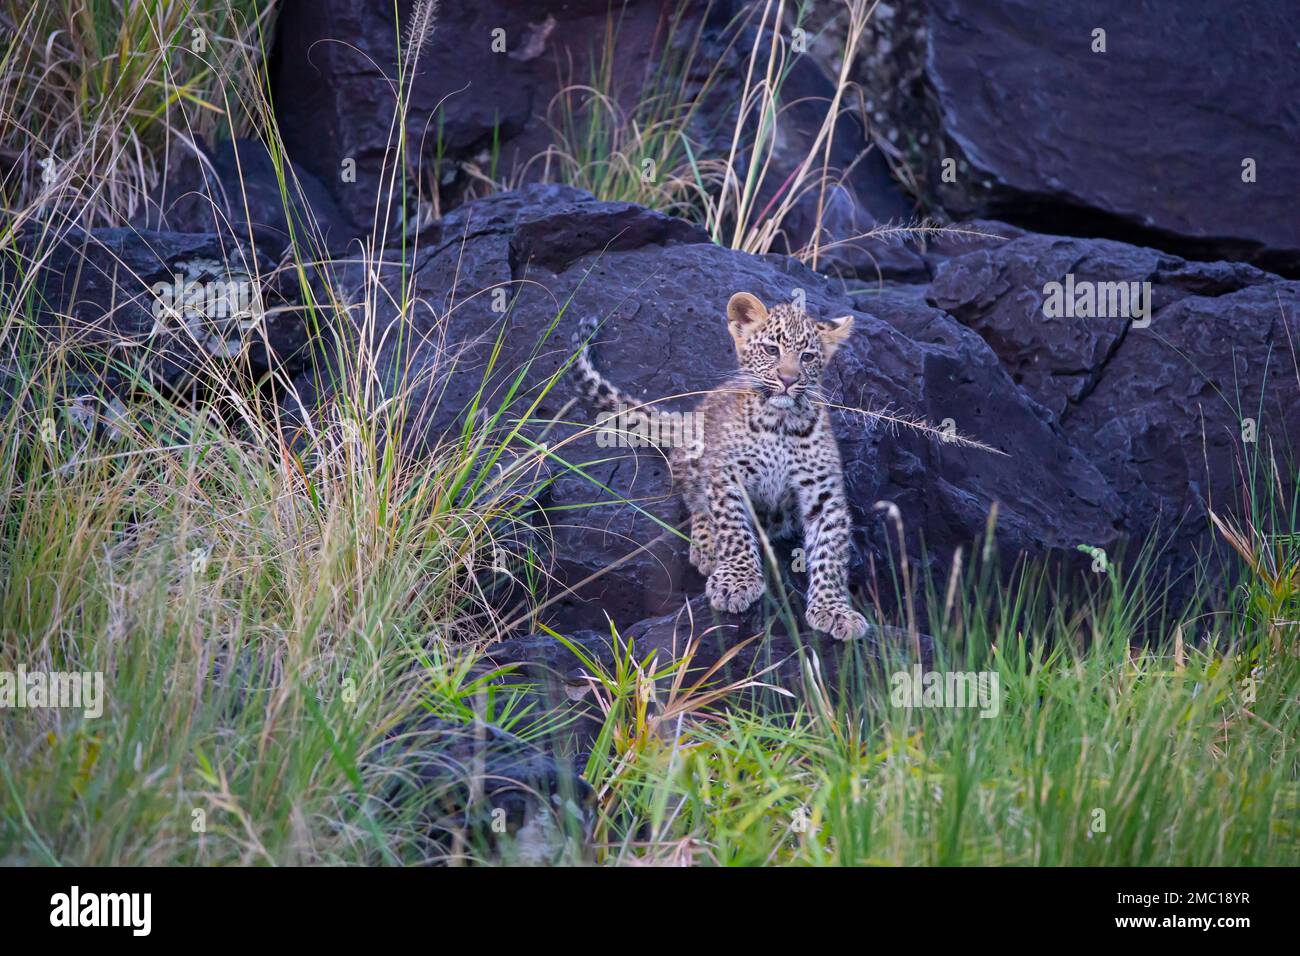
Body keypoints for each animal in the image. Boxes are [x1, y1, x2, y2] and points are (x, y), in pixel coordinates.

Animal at [573, 291, 868, 641]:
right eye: (772, 350)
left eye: (808, 357)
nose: (787, 379)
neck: (780, 423)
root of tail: (688, 420)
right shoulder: (728, 475)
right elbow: (733, 528)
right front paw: (737, 581)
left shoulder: (823, 492)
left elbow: (829, 551)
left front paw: (834, 610)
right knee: (694, 499)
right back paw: (707, 546)